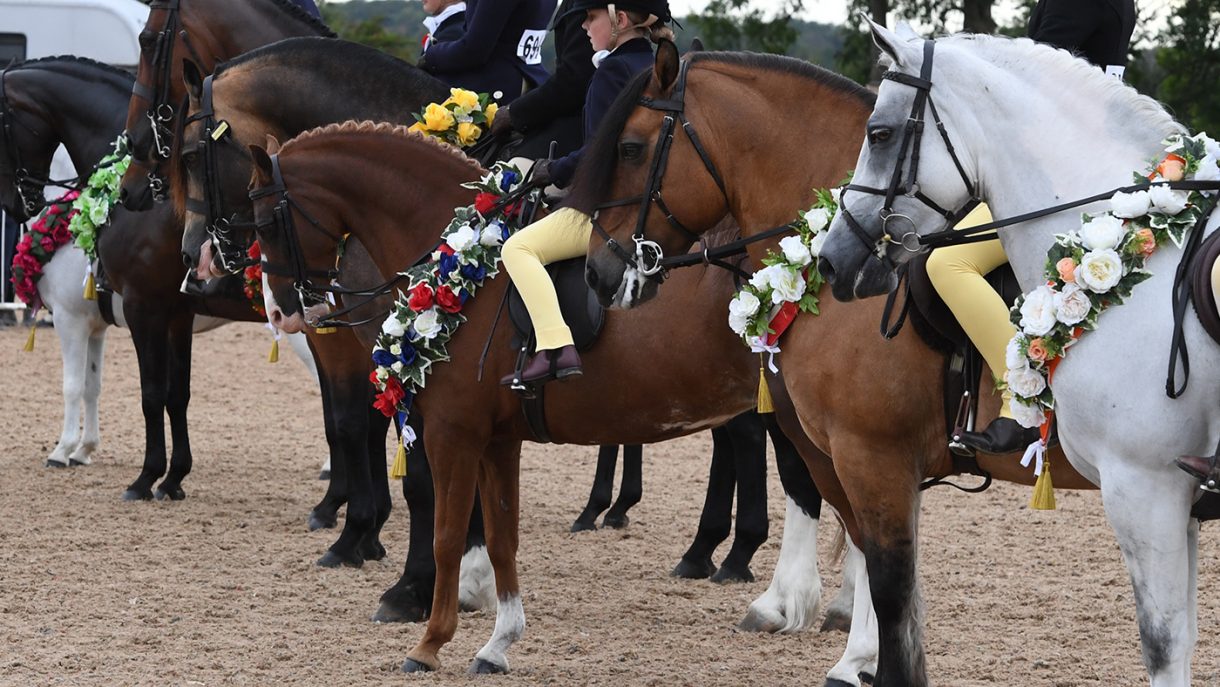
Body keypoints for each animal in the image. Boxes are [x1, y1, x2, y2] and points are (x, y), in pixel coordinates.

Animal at [178, 37, 836, 594]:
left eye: (190, 157)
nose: (282, 307)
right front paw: (459, 571)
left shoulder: (414, 379)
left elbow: (414, 476)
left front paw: (402, 573)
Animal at [244, 121, 860, 673]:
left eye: (268, 221)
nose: (283, 310)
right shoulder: (496, 441)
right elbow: (501, 537)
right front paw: (497, 643)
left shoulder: (451, 433)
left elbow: (446, 534)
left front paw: (429, 640)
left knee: (820, 493)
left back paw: (797, 609)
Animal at [578, 45, 1100, 687]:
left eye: (630, 147)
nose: (597, 273)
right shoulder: (847, 456)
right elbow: (873, 561)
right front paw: (859, 655)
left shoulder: (868, 454)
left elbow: (885, 571)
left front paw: (855, 656)